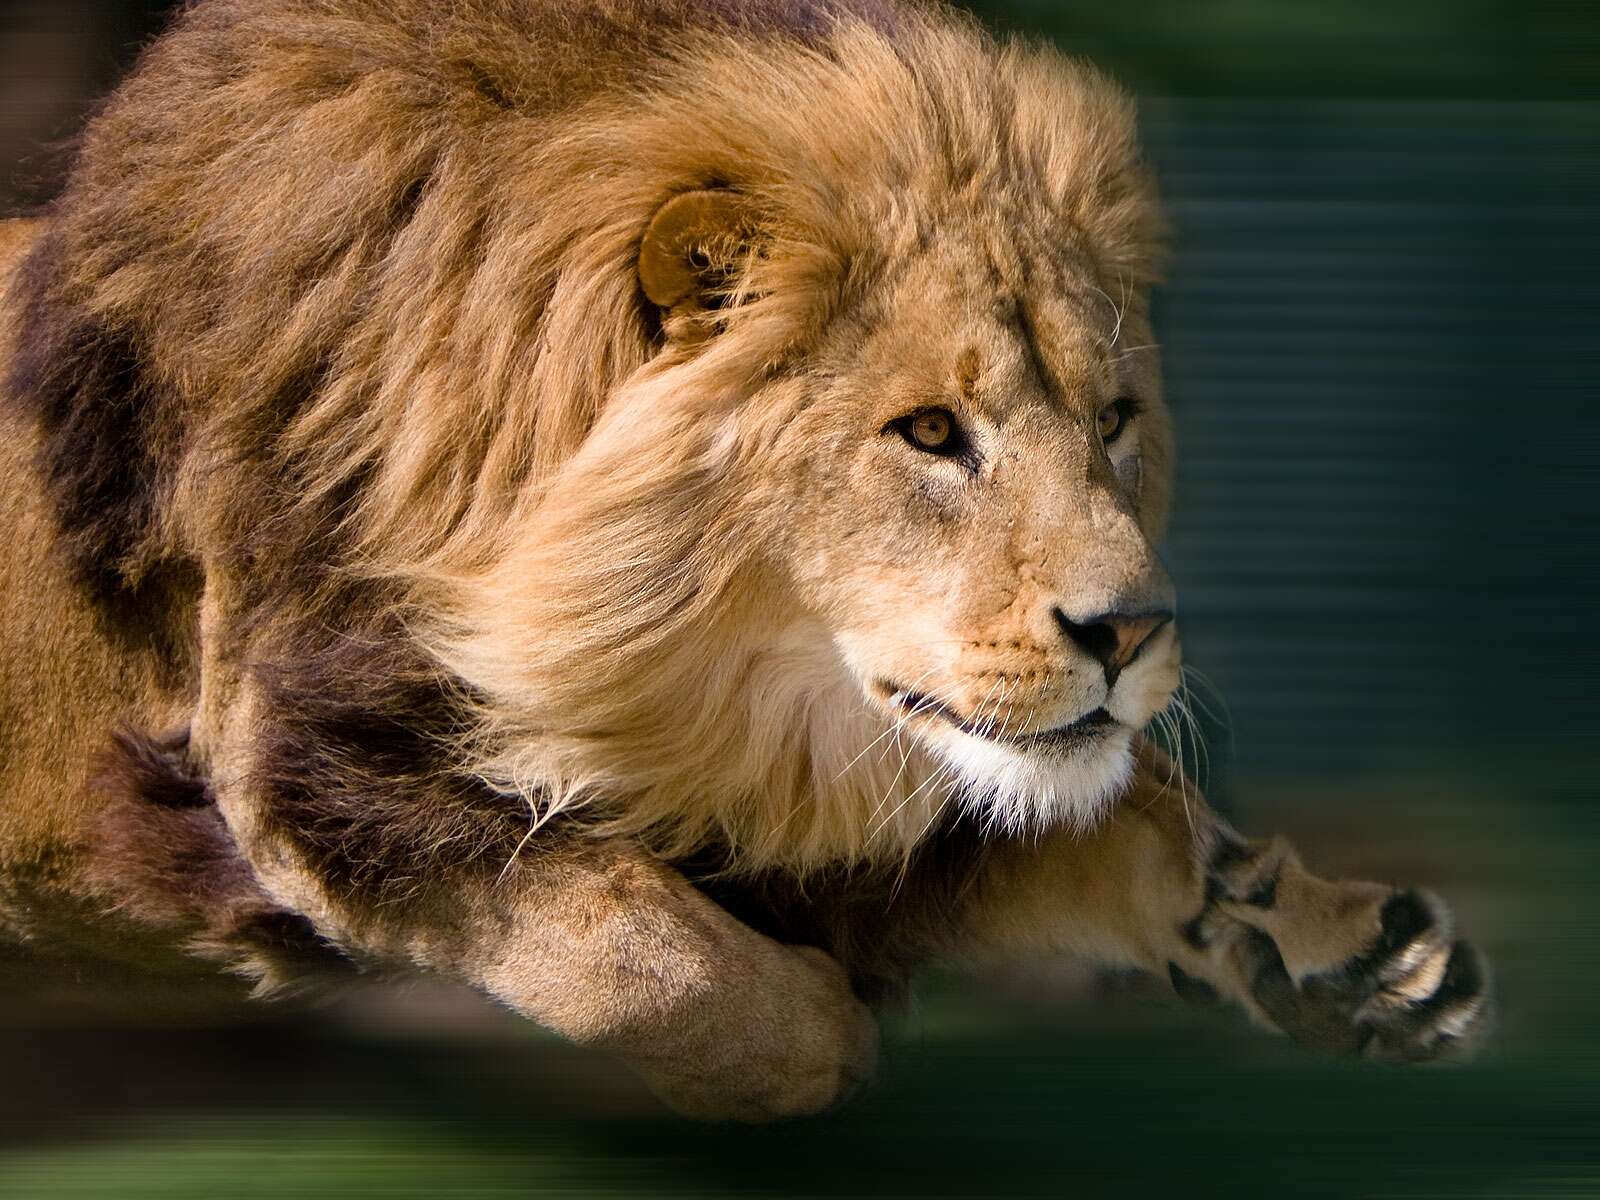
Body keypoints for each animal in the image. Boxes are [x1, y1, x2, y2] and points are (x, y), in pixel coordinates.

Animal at [0, 0, 1488, 1119]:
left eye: (1113, 422)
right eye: (931, 433)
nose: (1132, 631)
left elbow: (1102, 819)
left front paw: (1332, 946)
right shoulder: (297, 753)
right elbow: (638, 945)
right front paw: (822, 1028)